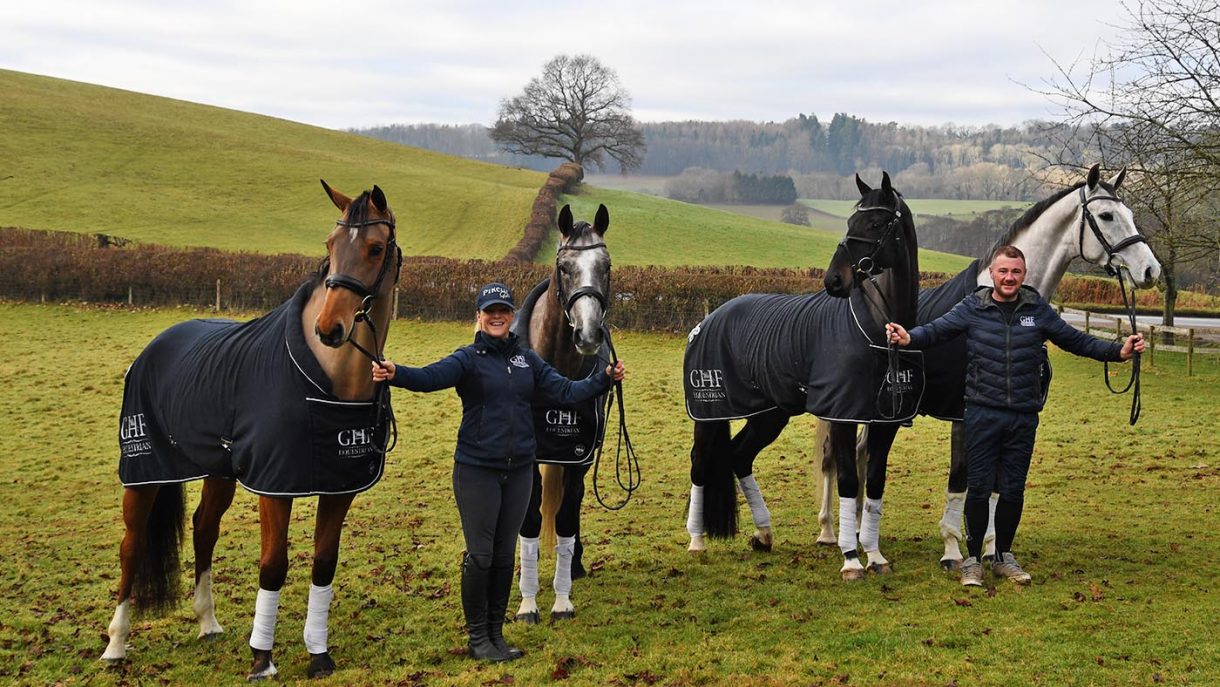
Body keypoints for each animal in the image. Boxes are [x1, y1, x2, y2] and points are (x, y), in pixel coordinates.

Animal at [101, 181, 401, 680]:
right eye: (330, 245)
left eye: (375, 248)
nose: (329, 328)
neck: (327, 380)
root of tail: (153, 347)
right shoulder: (274, 487)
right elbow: (273, 566)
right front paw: (262, 658)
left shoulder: (338, 487)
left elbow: (324, 564)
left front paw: (318, 654)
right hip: (144, 472)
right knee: (132, 547)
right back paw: (116, 645)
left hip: (218, 471)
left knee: (204, 528)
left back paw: (207, 622)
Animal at [683, 171, 923, 581]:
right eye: (850, 221)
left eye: (875, 224)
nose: (834, 280)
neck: (877, 327)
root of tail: (709, 319)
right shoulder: (843, 416)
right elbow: (848, 480)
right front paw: (851, 558)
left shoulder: (885, 422)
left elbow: (874, 483)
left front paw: (875, 555)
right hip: (710, 410)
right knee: (701, 461)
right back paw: (697, 540)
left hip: (770, 414)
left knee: (739, 456)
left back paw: (764, 534)